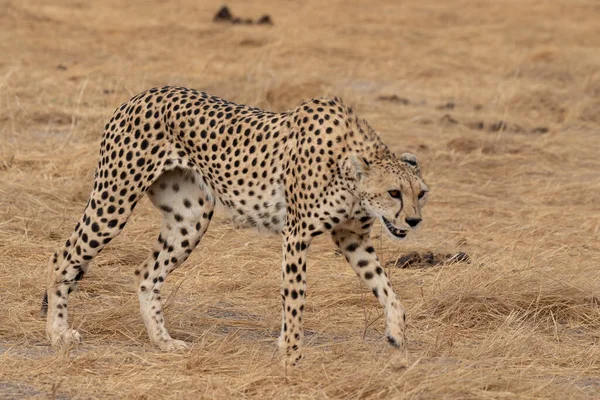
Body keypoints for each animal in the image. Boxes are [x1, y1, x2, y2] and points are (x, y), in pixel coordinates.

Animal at [41, 85, 426, 366]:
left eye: (421, 193)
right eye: (394, 192)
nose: (414, 220)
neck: (351, 172)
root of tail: (141, 95)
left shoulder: (352, 237)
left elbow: (386, 287)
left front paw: (397, 335)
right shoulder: (296, 234)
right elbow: (295, 298)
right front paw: (291, 357)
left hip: (191, 217)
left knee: (147, 273)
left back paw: (163, 341)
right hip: (114, 200)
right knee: (64, 256)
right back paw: (58, 333)